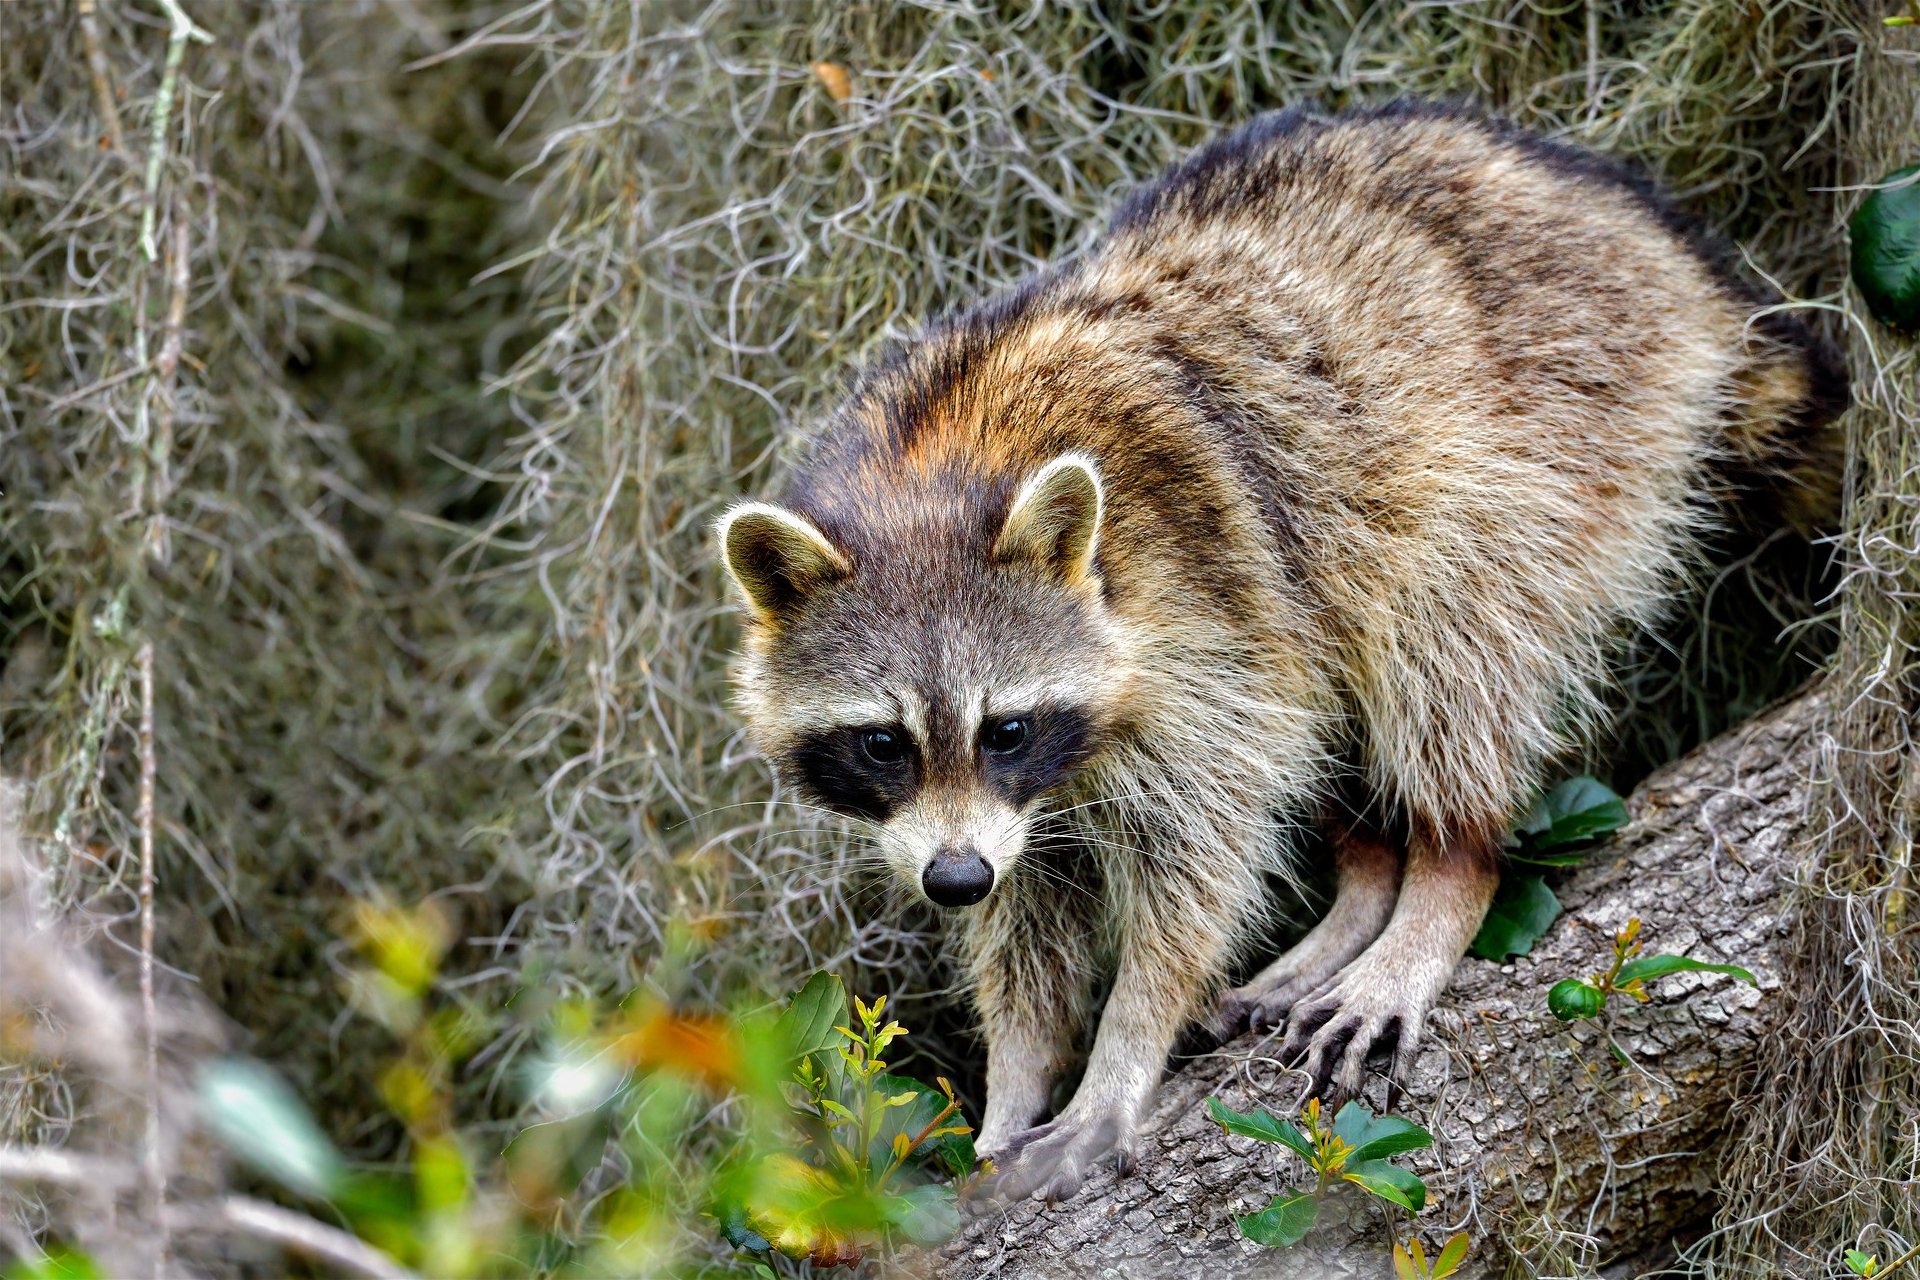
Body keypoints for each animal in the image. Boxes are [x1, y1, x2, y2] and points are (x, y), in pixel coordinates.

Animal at [715, 102, 1847, 1202]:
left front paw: (1122, 1052)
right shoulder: (1026, 793)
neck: (935, 467)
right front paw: (1016, 1076)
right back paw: (1365, 883)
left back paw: (1444, 870)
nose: (952, 879)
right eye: (882, 743)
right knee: (1329, 706)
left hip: (1564, 418)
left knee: (1446, 625)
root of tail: (1650, 236)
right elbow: (1030, 909)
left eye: (1006, 728)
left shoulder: (1195, 613)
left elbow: (1199, 855)